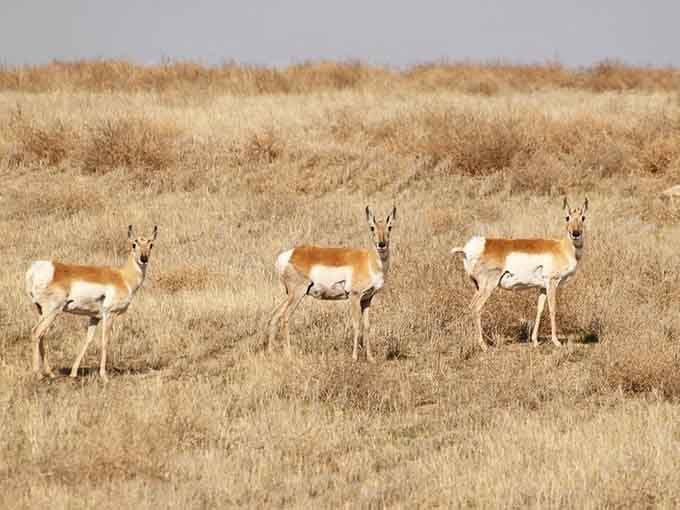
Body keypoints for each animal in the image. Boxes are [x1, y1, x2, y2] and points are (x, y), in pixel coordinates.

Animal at [25, 225, 157, 381]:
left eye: (151, 244)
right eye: (134, 244)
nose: (144, 259)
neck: (122, 277)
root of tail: (36, 269)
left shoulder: (94, 317)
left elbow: (88, 340)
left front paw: (74, 373)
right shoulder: (109, 315)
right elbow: (105, 341)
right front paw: (104, 376)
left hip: (42, 312)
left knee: (42, 335)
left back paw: (50, 373)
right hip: (52, 311)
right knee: (36, 332)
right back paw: (39, 374)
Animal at [266, 206, 396, 362]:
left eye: (390, 227)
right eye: (372, 227)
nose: (381, 245)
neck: (368, 260)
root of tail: (288, 255)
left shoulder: (367, 299)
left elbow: (367, 326)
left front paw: (370, 358)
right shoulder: (354, 296)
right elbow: (356, 325)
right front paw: (354, 357)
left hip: (290, 295)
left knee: (274, 315)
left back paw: (271, 353)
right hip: (297, 293)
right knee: (285, 317)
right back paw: (289, 355)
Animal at [451, 198, 588, 351]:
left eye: (583, 217)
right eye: (567, 217)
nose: (575, 233)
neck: (561, 248)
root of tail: (477, 246)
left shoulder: (542, 287)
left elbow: (540, 309)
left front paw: (535, 341)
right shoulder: (552, 283)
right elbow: (552, 309)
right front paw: (556, 341)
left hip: (478, 287)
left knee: (470, 307)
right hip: (488, 286)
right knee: (476, 307)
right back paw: (483, 345)